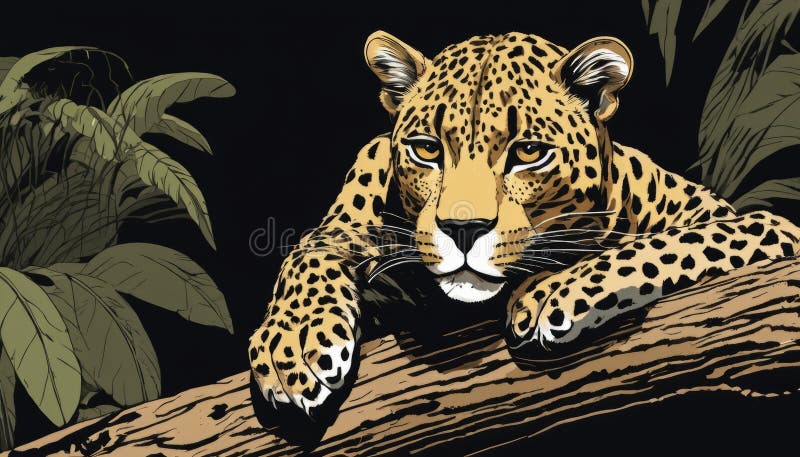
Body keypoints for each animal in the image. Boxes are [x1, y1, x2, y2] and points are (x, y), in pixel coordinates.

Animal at [248, 31, 800, 417]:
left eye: (528, 152)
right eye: (426, 149)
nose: (463, 229)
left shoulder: (767, 229)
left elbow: (668, 243)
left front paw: (553, 290)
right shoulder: (360, 193)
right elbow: (312, 246)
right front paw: (294, 342)